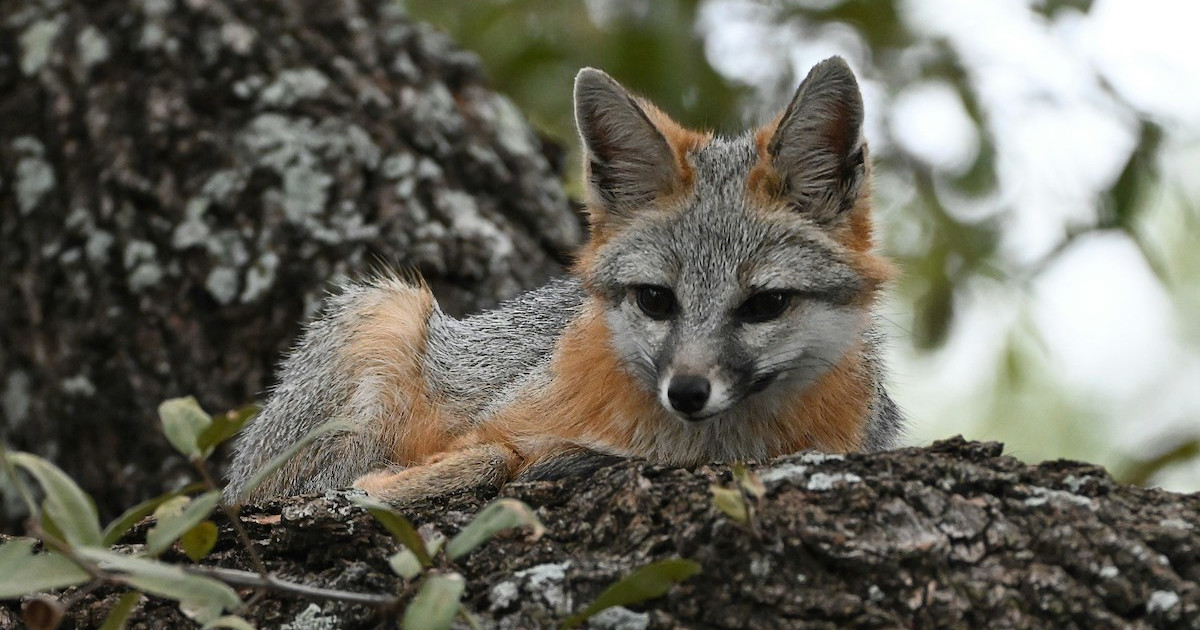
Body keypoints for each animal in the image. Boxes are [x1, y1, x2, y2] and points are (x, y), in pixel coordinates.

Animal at [224, 56, 904, 505]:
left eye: (765, 305)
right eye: (656, 300)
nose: (686, 392)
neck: (698, 446)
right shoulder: (495, 417)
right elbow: (487, 454)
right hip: (387, 314)